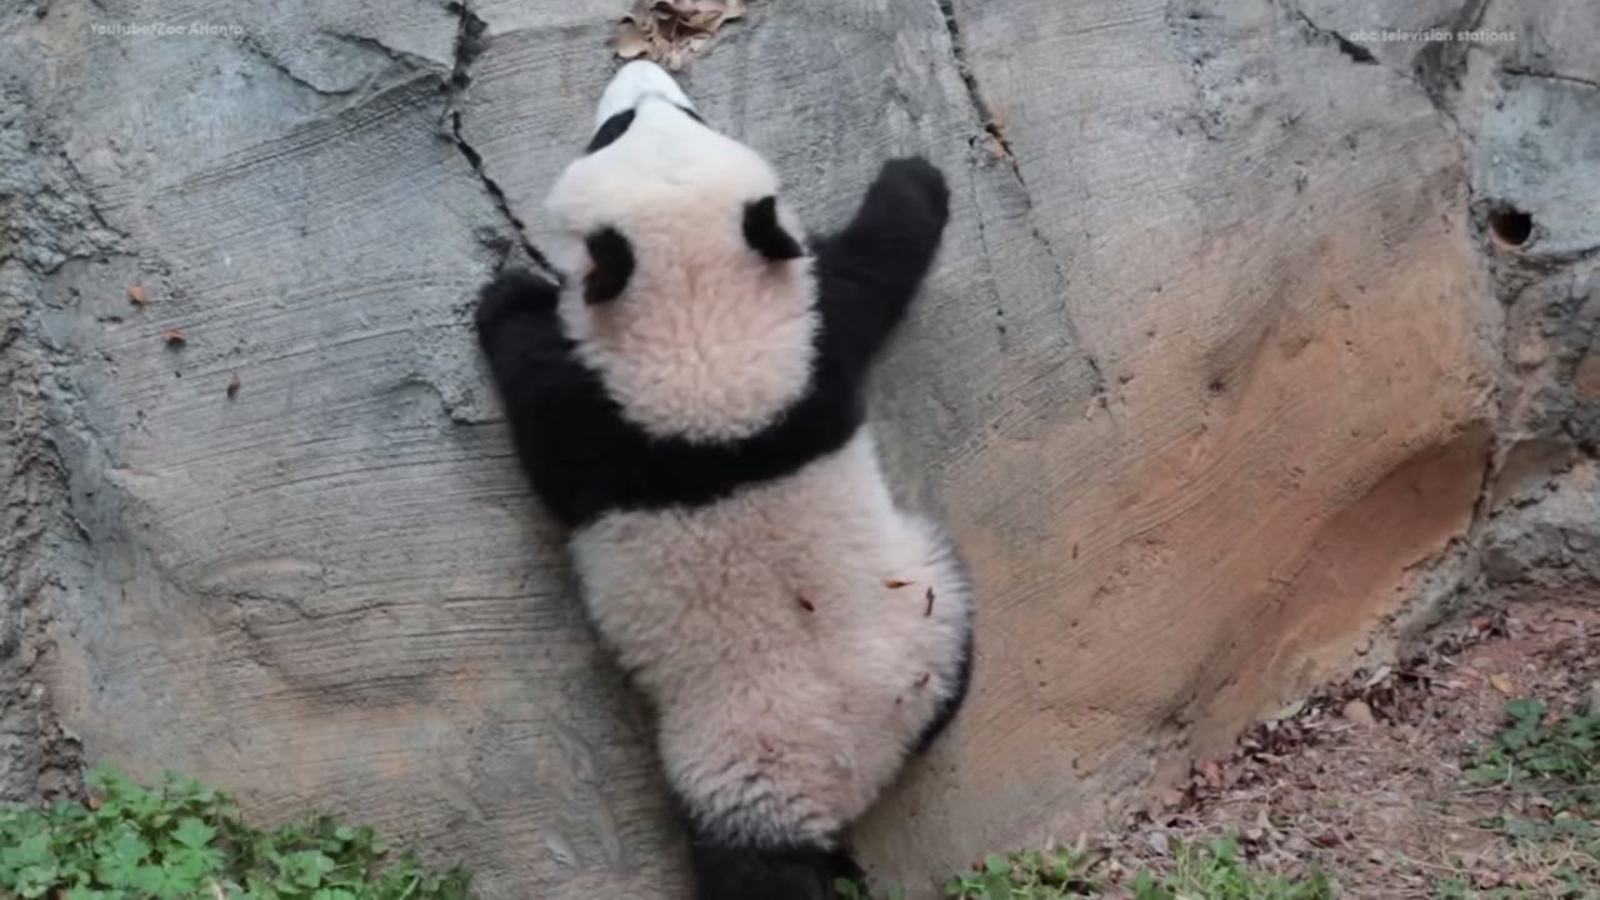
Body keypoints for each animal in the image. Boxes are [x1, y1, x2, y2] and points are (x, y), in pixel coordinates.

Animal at [474, 61, 974, 900]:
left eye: (616, 129)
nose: (640, 68)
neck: (699, 310)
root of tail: (856, 774)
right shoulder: (813, 348)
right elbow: (872, 267)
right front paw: (921, 177)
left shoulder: (609, 423)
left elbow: (546, 431)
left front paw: (506, 295)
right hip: (931, 626)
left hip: (735, 760)